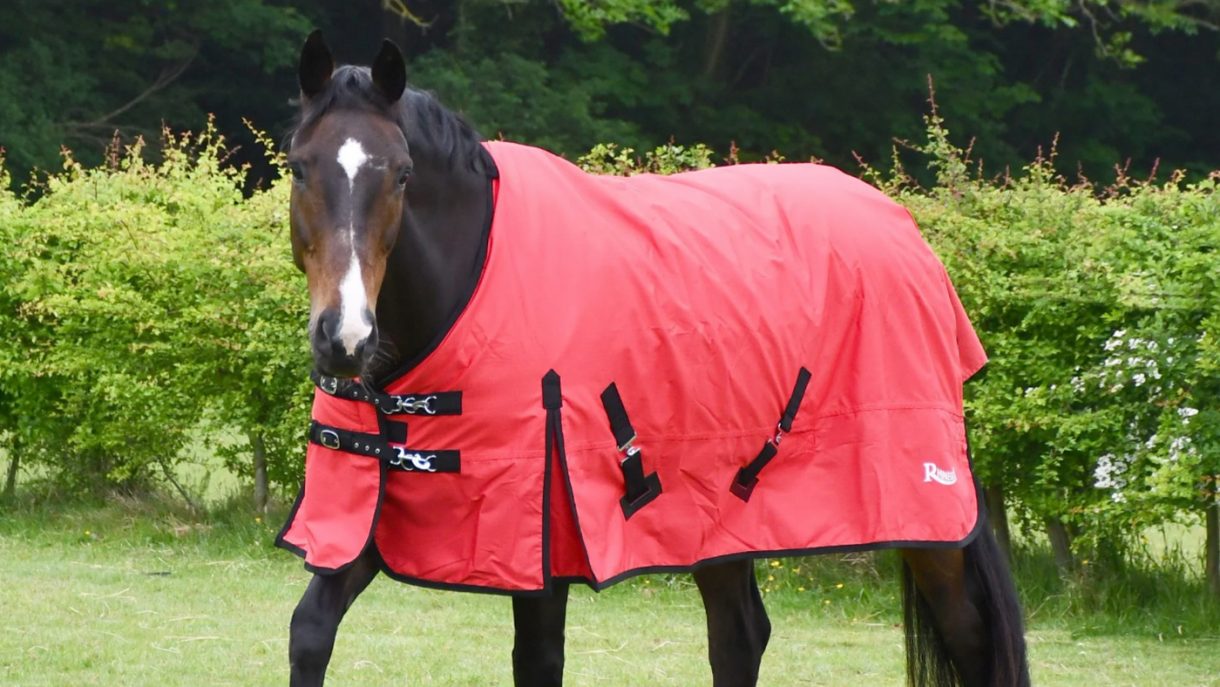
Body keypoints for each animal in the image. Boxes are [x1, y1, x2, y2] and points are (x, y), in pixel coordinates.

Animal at [279, 31, 1030, 687]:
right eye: (298, 167)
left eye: (403, 174)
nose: (345, 337)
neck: (468, 283)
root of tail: (911, 239)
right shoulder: (366, 514)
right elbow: (310, 631)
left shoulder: (541, 537)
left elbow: (537, 661)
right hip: (720, 517)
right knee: (740, 635)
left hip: (927, 516)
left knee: (970, 634)